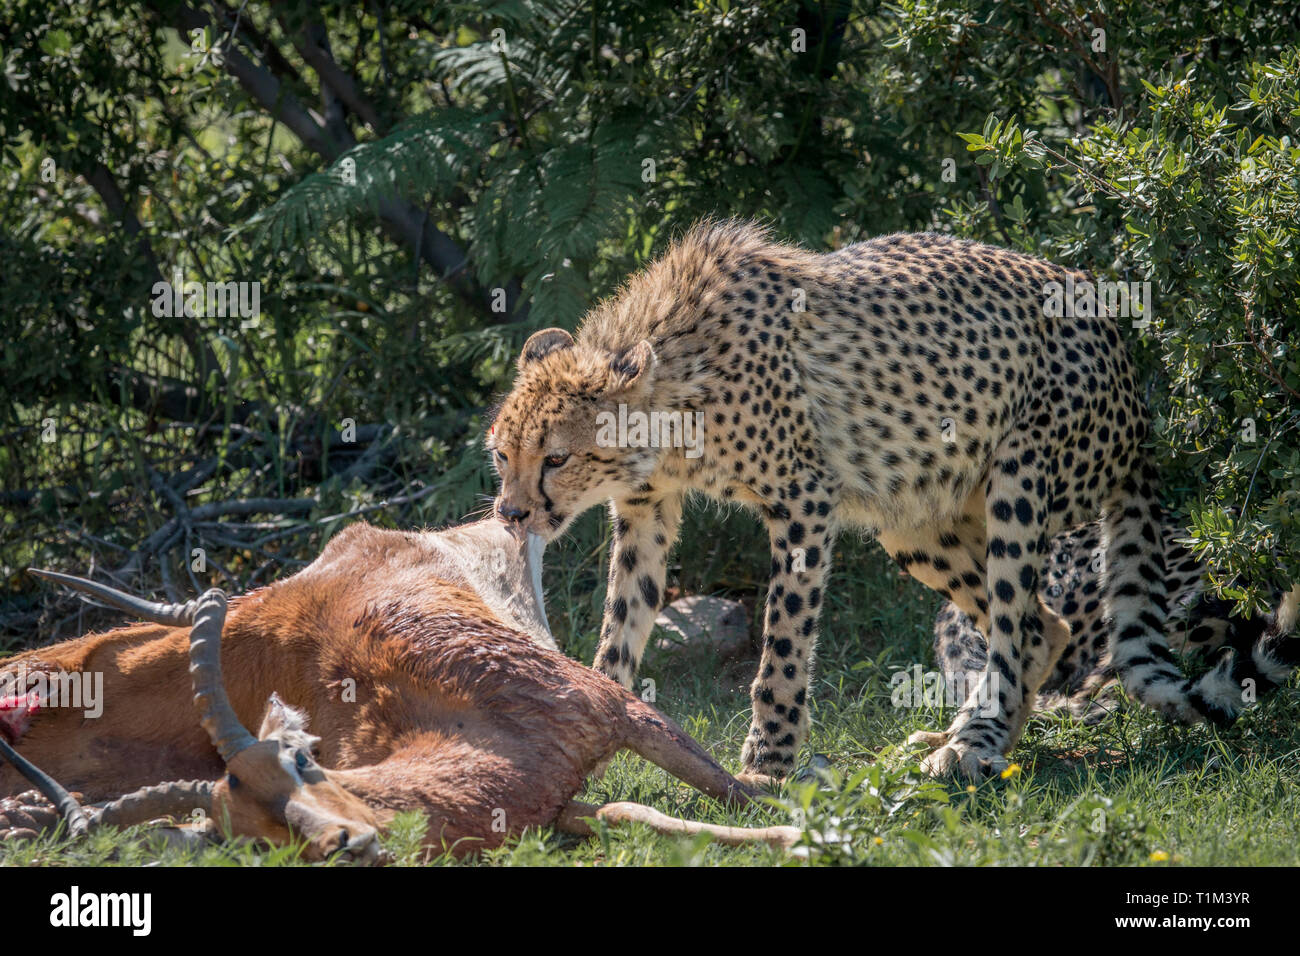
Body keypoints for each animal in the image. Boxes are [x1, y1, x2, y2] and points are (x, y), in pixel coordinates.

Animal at [0, 519, 799, 861]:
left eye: (303, 760)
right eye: (248, 840)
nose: (346, 844)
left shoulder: (613, 705)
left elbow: (725, 791)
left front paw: (796, 828)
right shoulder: (548, 803)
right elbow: (632, 813)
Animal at [486, 219, 1232, 780]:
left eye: (556, 458)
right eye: (502, 454)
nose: (512, 514)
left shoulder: (803, 500)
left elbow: (783, 649)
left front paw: (768, 764)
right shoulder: (646, 511)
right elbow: (621, 626)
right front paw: (601, 725)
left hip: (1021, 478)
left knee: (1019, 623)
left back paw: (975, 745)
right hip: (914, 515)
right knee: (1042, 626)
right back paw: (961, 739)